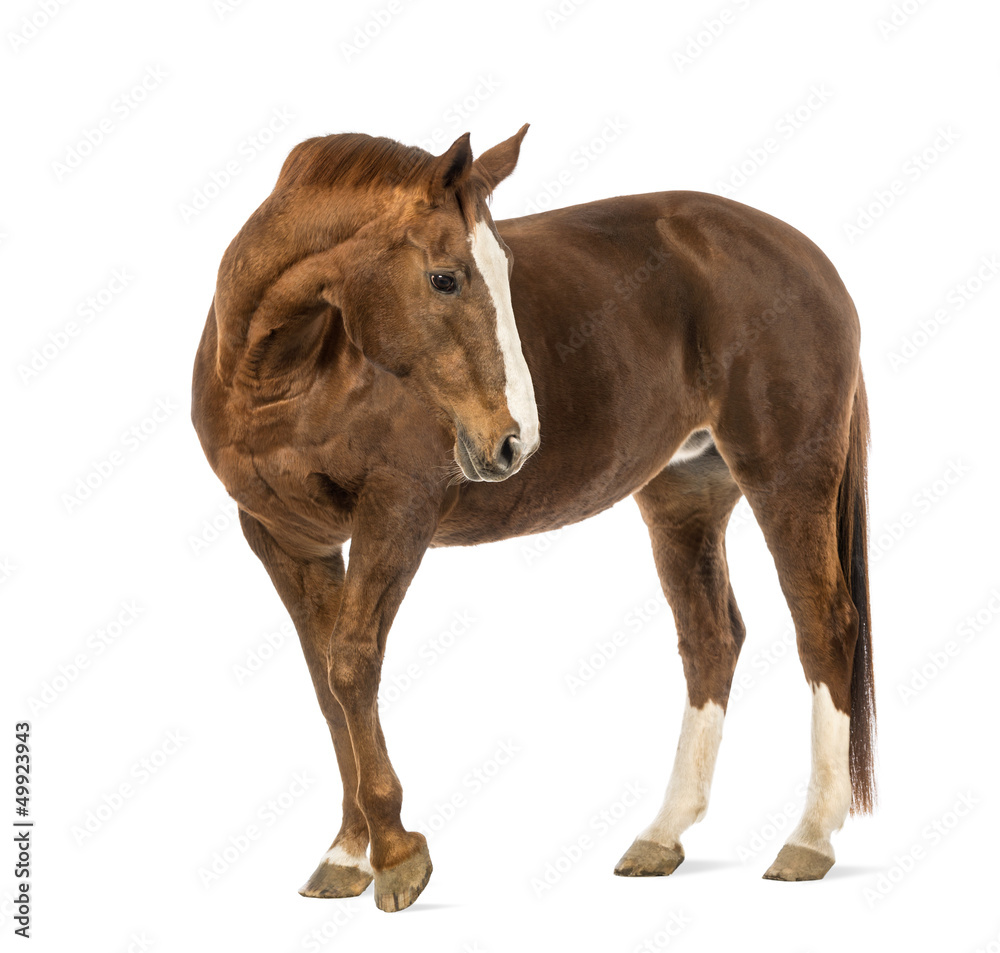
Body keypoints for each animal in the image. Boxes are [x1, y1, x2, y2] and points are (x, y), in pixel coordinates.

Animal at [191, 124, 875, 912]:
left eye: (505, 271)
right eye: (446, 278)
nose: (517, 441)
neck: (289, 374)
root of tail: (811, 258)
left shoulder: (396, 513)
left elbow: (353, 666)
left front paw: (396, 855)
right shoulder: (284, 540)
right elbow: (327, 684)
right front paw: (347, 852)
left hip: (787, 475)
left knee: (825, 622)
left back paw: (810, 838)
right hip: (684, 494)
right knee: (711, 638)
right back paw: (663, 835)